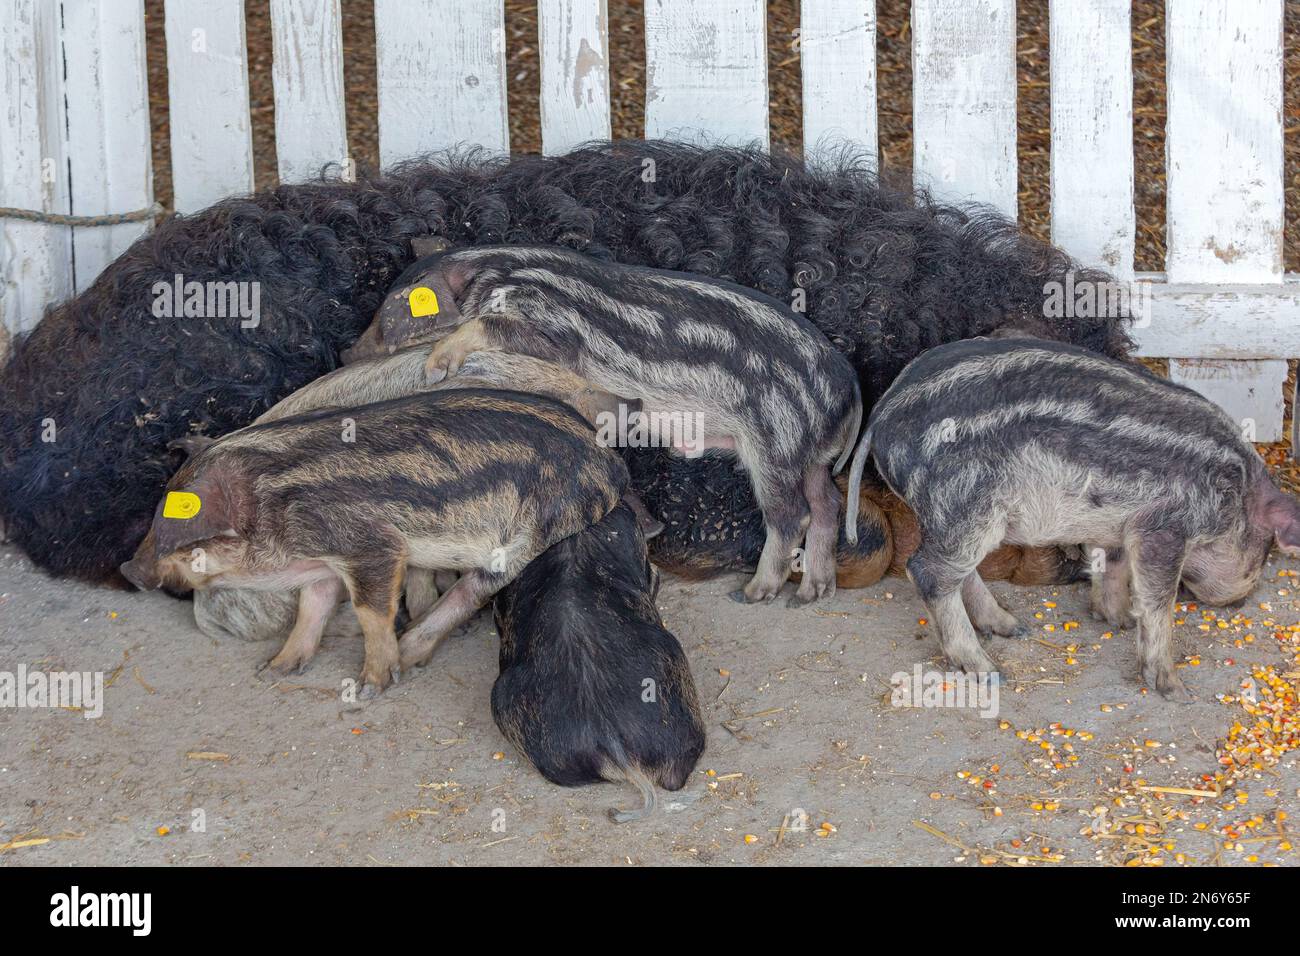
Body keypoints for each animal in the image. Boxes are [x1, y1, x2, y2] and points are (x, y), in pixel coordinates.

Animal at [120, 389, 628, 694]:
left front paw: (370, 686)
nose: (128, 571)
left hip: (531, 530)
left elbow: (369, 612)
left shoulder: (370, 547)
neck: (270, 508)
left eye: (186, 543)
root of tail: (606, 461)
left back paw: (412, 646)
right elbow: (312, 608)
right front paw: (271, 671)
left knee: (473, 592)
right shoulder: (324, 564)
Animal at [351, 244, 865, 608]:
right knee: (827, 504)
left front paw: (435, 369)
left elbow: (487, 328)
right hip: (807, 456)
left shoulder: (555, 333)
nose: (344, 352)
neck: (500, 278)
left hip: (773, 443)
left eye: (392, 309)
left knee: (791, 515)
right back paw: (812, 594)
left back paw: (753, 594)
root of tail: (847, 384)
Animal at [846, 336, 1300, 700]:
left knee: (959, 572)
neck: (1235, 490)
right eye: (1263, 553)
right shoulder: (1164, 527)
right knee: (926, 571)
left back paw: (1013, 627)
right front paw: (1175, 691)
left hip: (960, 515)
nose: (1240, 600)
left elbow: (1112, 565)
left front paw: (1115, 620)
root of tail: (883, 413)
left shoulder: (1118, 525)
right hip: (966, 504)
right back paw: (990, 672)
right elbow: (1157, 603)